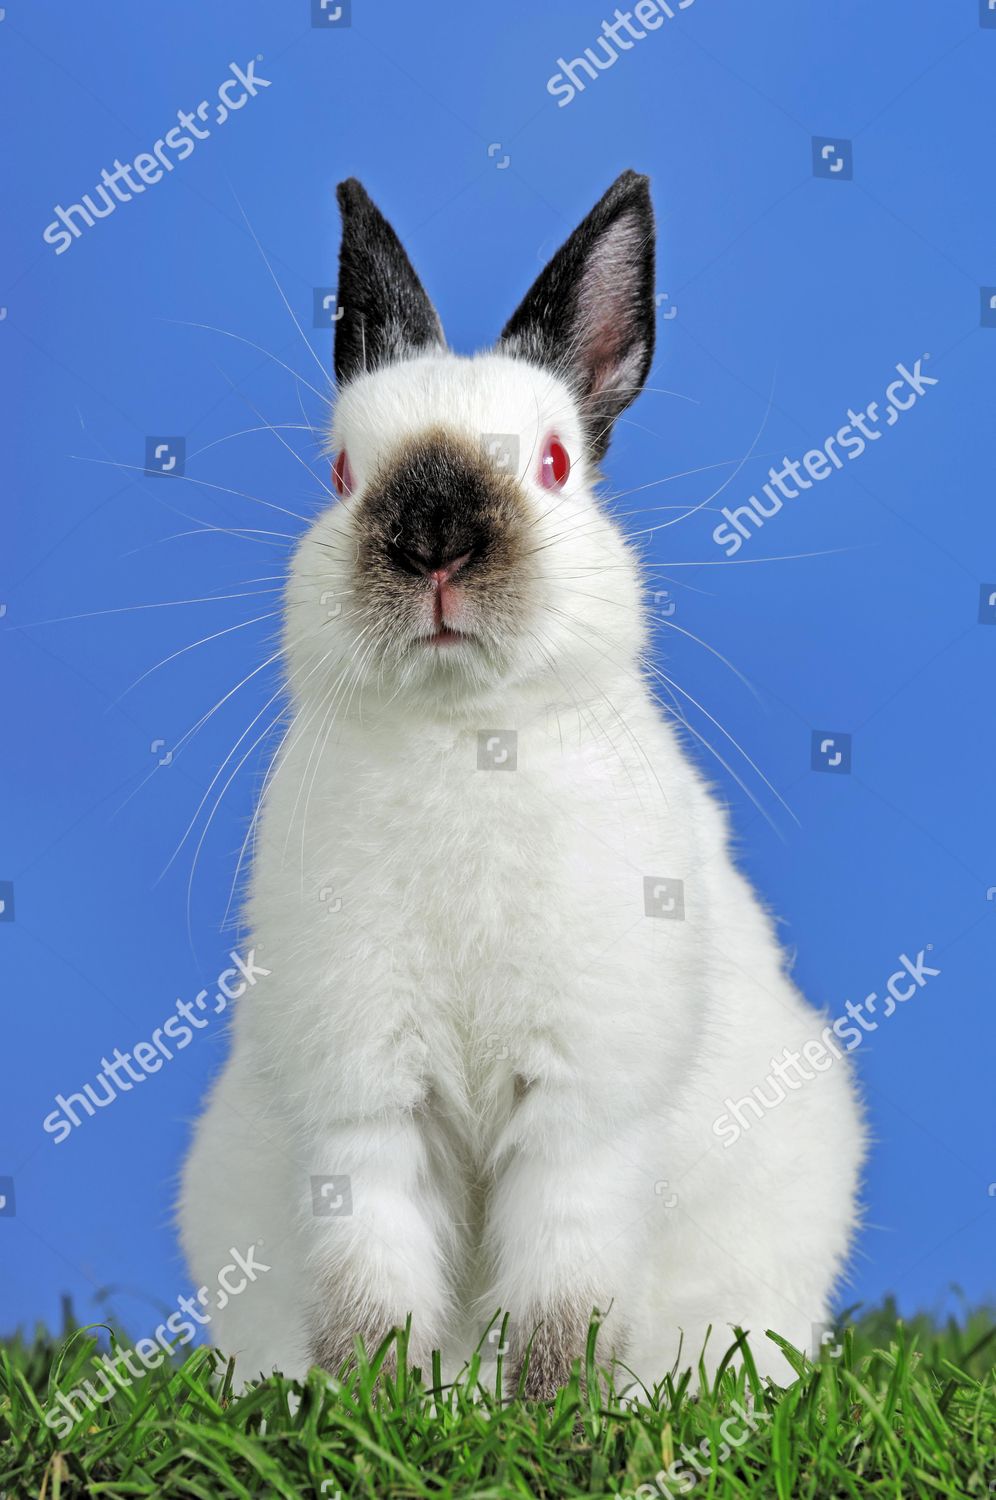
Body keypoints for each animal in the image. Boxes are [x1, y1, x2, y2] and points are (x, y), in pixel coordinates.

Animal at [179, 170, 864, 1398]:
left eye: (552, 465)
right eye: (341, 475)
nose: (435, 541)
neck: (468, 740)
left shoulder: (582, 1113)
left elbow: (560, 1292)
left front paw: (550, 1415)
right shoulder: (366, 1105)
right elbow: (373, 1284)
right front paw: (381, 1410)